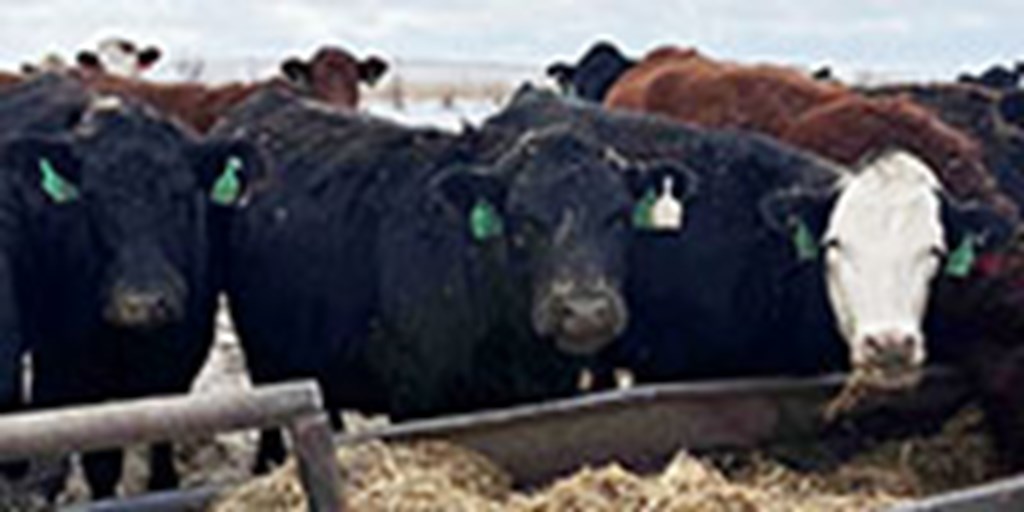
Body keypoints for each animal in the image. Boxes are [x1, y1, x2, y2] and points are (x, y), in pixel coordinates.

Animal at [0, 76, 248, 498]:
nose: (142, 303)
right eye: (91, 199)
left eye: (182, 194)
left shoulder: (183, 353)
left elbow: (166, 435)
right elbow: (101, 461)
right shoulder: (79, 367)